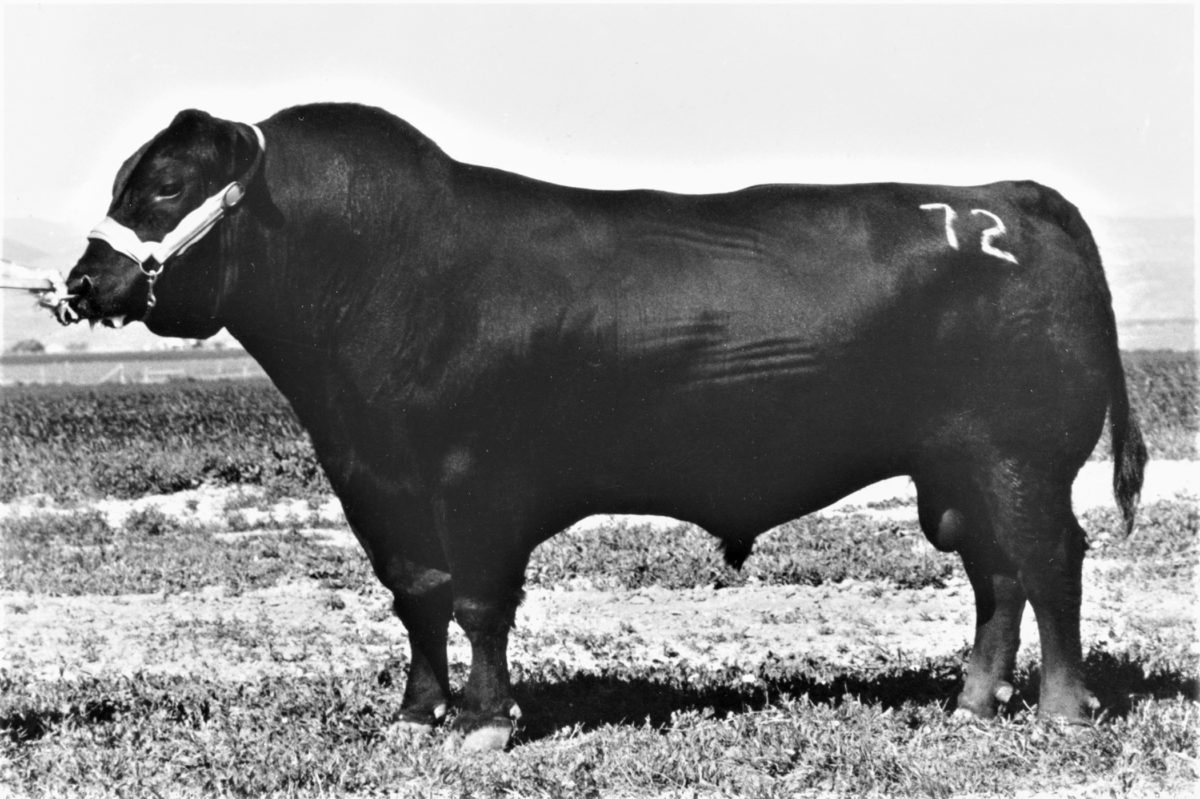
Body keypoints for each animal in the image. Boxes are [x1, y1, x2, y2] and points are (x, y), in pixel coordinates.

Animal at [57, 103, 1146, 752]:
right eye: (123, 178)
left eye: (164, 186)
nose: (83, 282)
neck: (382, 273)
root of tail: (1005, 197)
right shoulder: (376, 483)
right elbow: (416, 599)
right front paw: (416, 712)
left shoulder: (476, 484)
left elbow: (478, 606)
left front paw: (485, 722)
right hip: (961, 471)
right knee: (997, 576)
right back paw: (973, 700)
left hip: (1018, 459)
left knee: (1048, 561)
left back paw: (1060, 709)